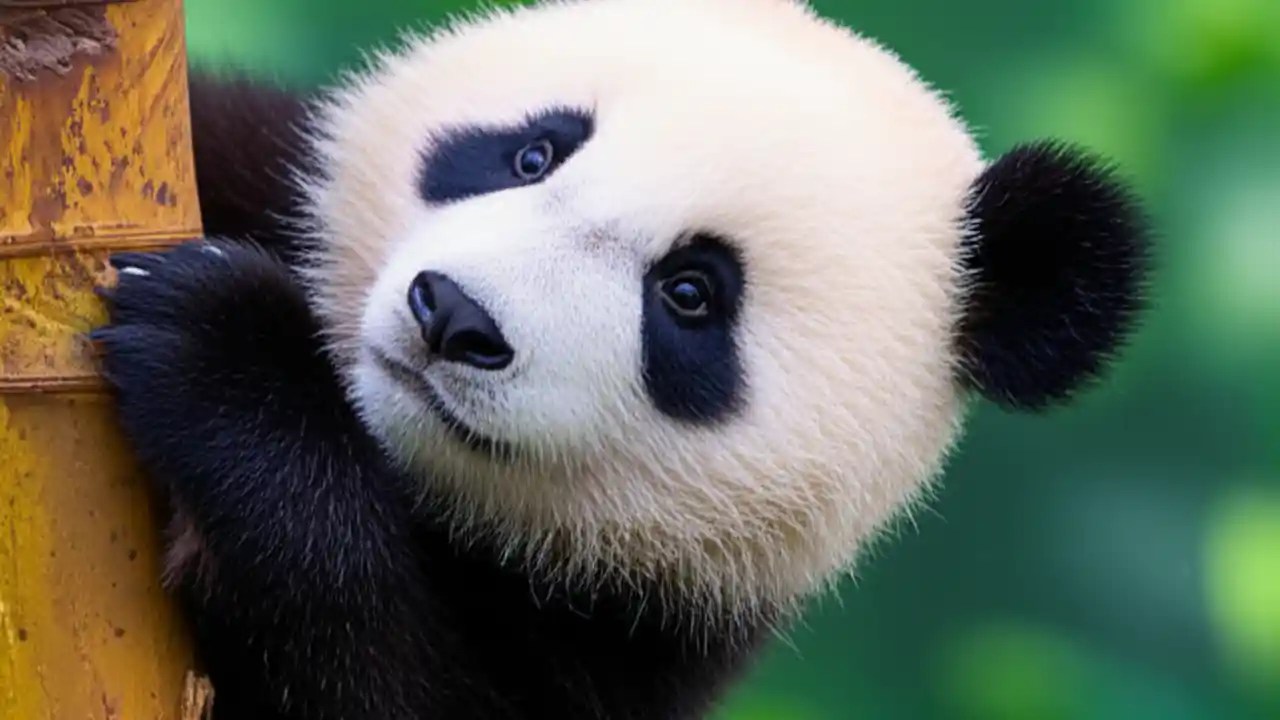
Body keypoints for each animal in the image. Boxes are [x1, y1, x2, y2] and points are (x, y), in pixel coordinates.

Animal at [91, 0, 1151, 718]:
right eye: (533, 153)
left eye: (690, 293)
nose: (453, 314)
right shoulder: (244, 156)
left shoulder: (633, 642)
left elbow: (383, 674)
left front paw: (223, 347)